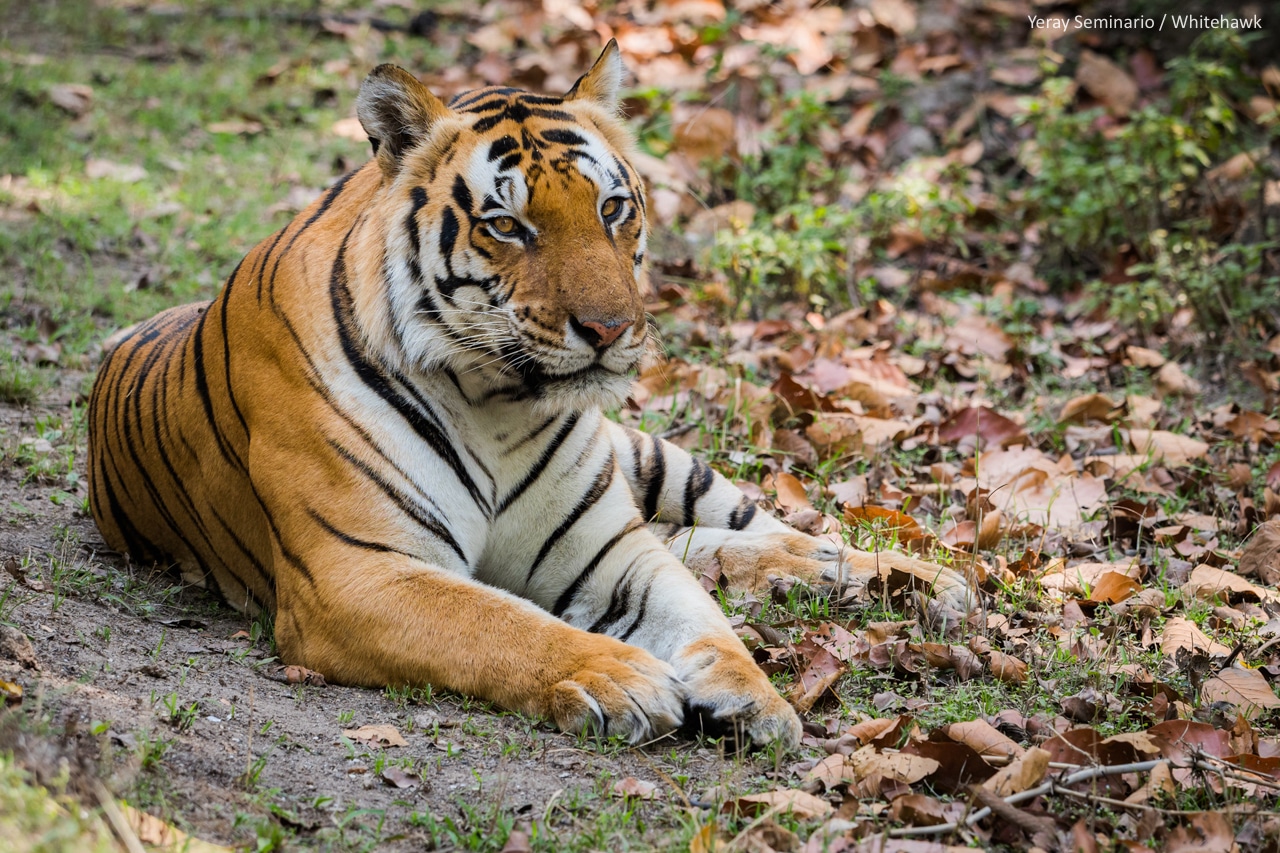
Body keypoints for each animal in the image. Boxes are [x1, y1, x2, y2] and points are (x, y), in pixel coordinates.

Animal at [87, 42, 972, 748]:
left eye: (613, 208)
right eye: (507, 226)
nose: (612, 329)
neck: (497, 401)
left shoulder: (607, 550)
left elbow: (704, 621)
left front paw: (756, 696)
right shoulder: (359, 573)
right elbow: (500, 623)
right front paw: (624, 679)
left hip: (653, 458)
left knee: (752, 528)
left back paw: (906, 577)